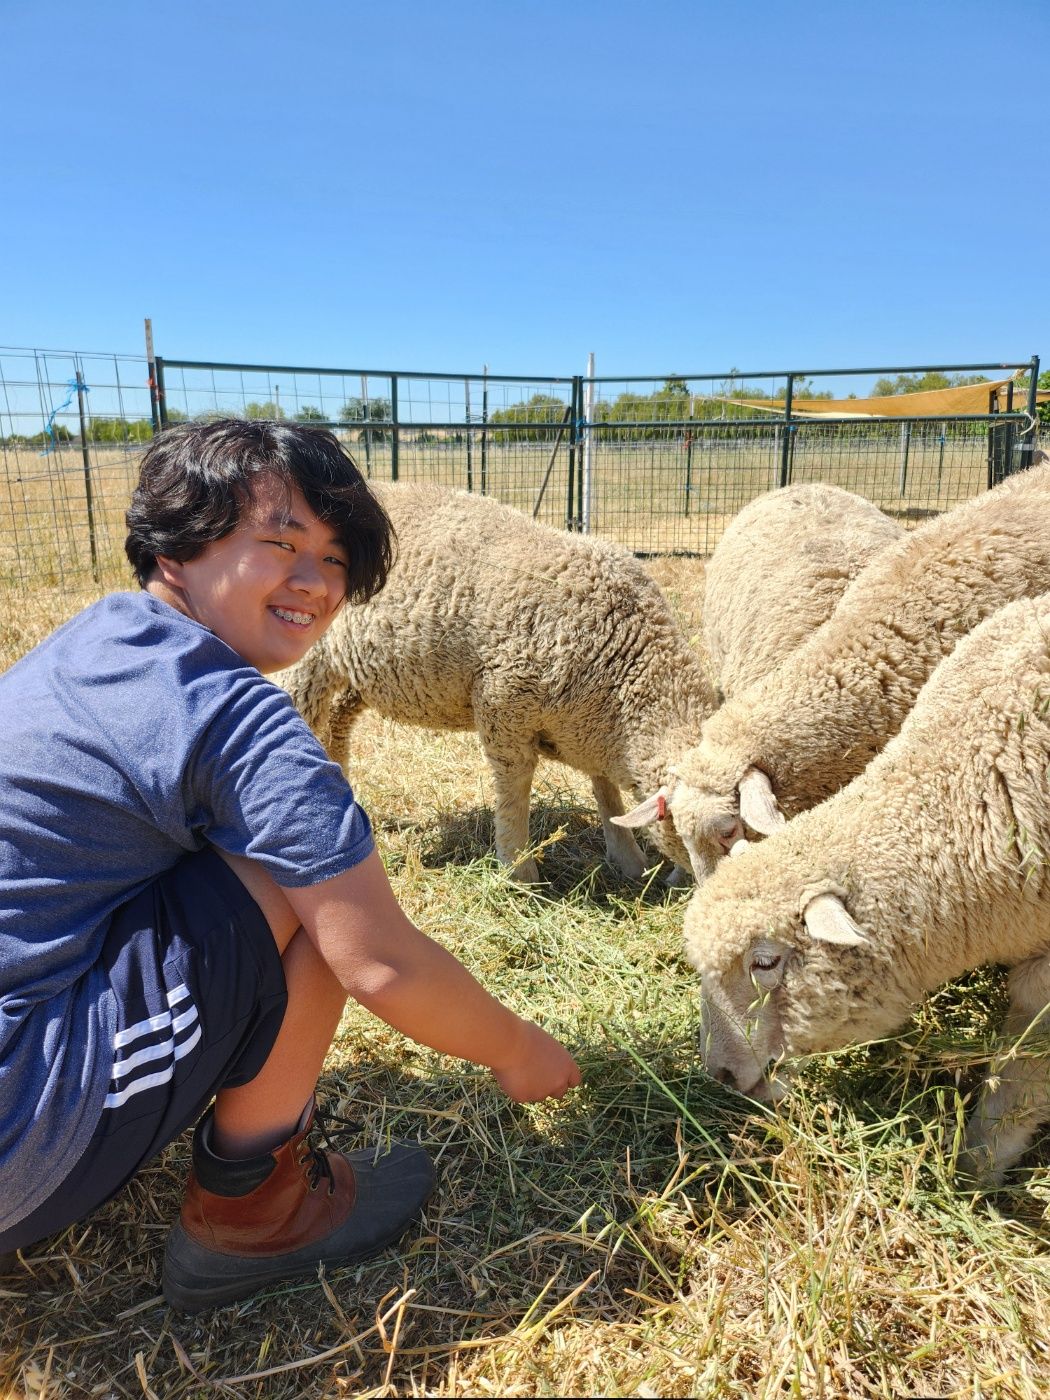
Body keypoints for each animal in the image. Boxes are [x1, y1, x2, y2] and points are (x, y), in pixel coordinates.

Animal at [276, 480, 722, 884]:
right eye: (720, 832)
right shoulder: (504, 705)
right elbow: (514, 789)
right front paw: (518, 871)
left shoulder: (588, 729)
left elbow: (606, 792)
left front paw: (628, 861)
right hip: (307, 660)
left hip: (357, 672)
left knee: (336, 727)